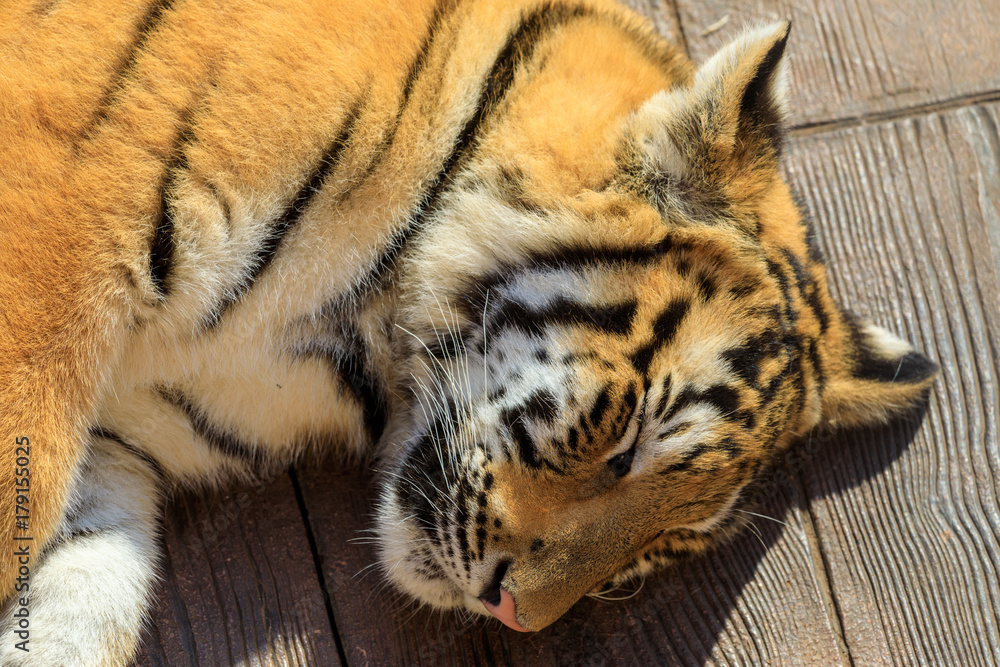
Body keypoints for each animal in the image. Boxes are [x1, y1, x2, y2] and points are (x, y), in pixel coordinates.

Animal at [0, 0, 937, 664]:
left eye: (670, 539)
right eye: (628, 441)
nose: (512, 609)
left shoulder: (118, 444)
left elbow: (79, 603)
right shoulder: (49, 254)